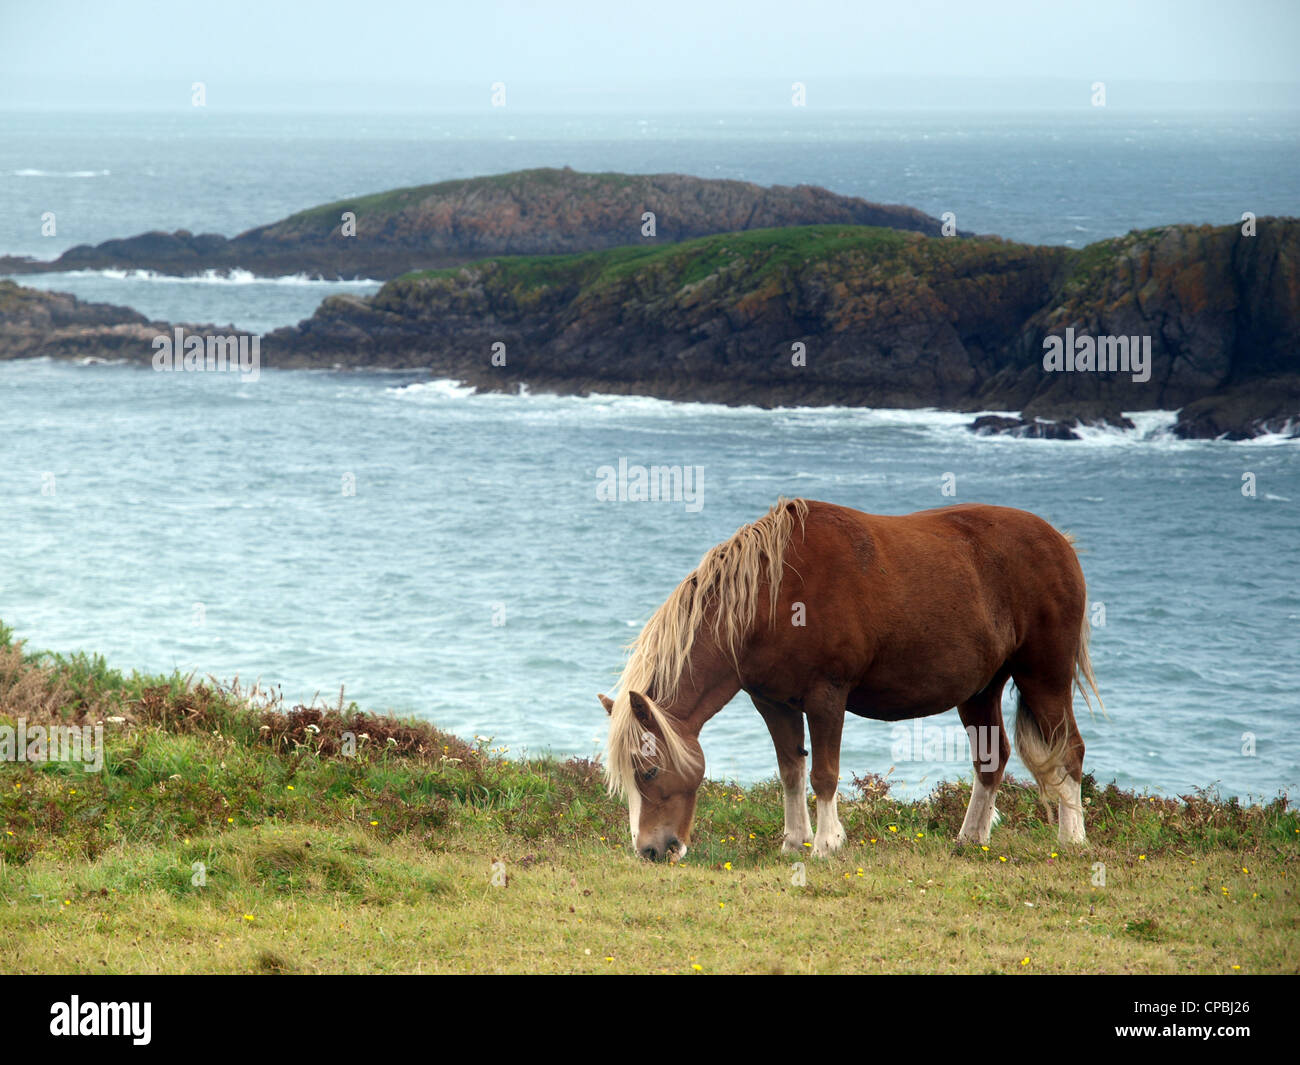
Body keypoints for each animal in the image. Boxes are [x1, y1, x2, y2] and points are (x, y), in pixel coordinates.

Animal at [599, 497, 1101, 862]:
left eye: (648, 770)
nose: (652, 850)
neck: (772, 597)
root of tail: (1060, 543)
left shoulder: (827, 697)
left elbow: (823, 774)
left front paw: (825, 844)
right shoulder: (773, 703)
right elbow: (791, 770)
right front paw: (793, 841)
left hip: (1045, 677)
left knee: (1069, 750)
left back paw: (1072, 840)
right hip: (980, 690)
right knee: (991, 760)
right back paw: (971, 838)